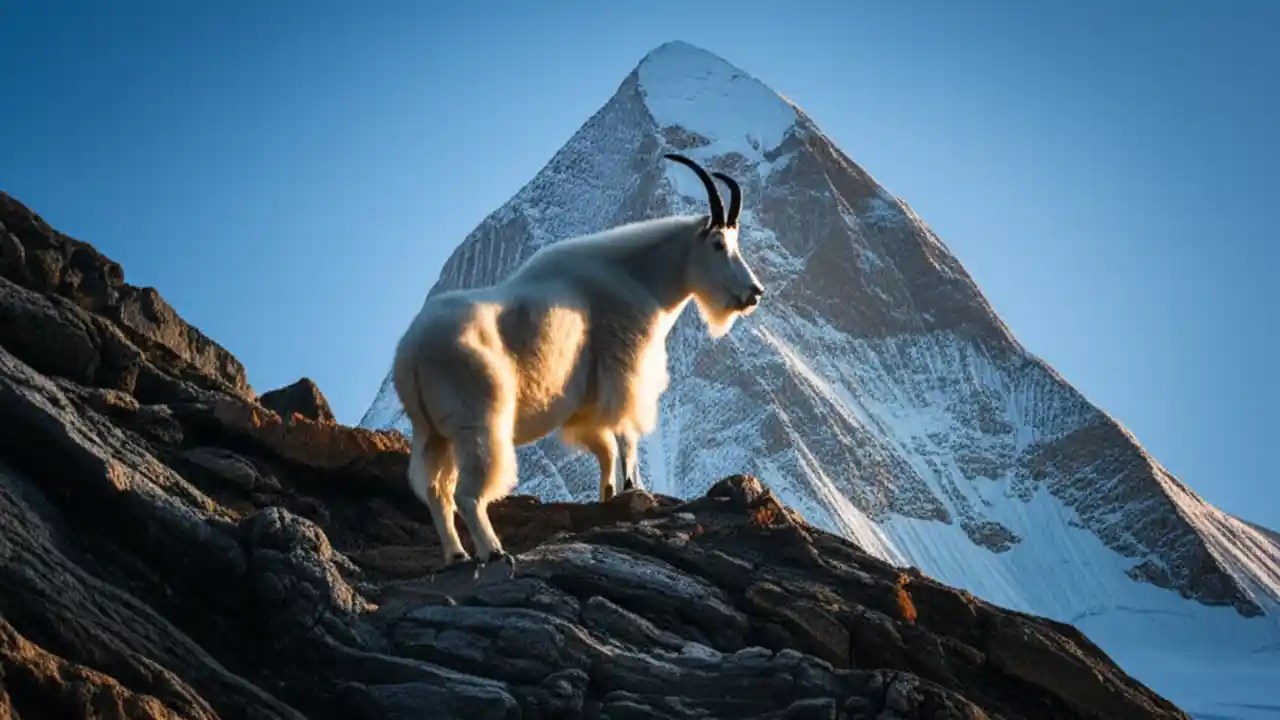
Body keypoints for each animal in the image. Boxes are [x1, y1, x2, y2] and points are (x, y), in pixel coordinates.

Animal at [392, 153, 765, 569]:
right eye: (718, 244)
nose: (754, 293)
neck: (638, 278)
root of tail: (412, 351)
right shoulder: (624, 369)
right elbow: (626, 438)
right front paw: (635, 488)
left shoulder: (586, 403)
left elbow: (604, 448)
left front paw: (609, 495)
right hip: (478, 423)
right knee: (467, 493)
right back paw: (493, 550)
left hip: (432, 434)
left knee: (435, 491)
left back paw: (456, 555)